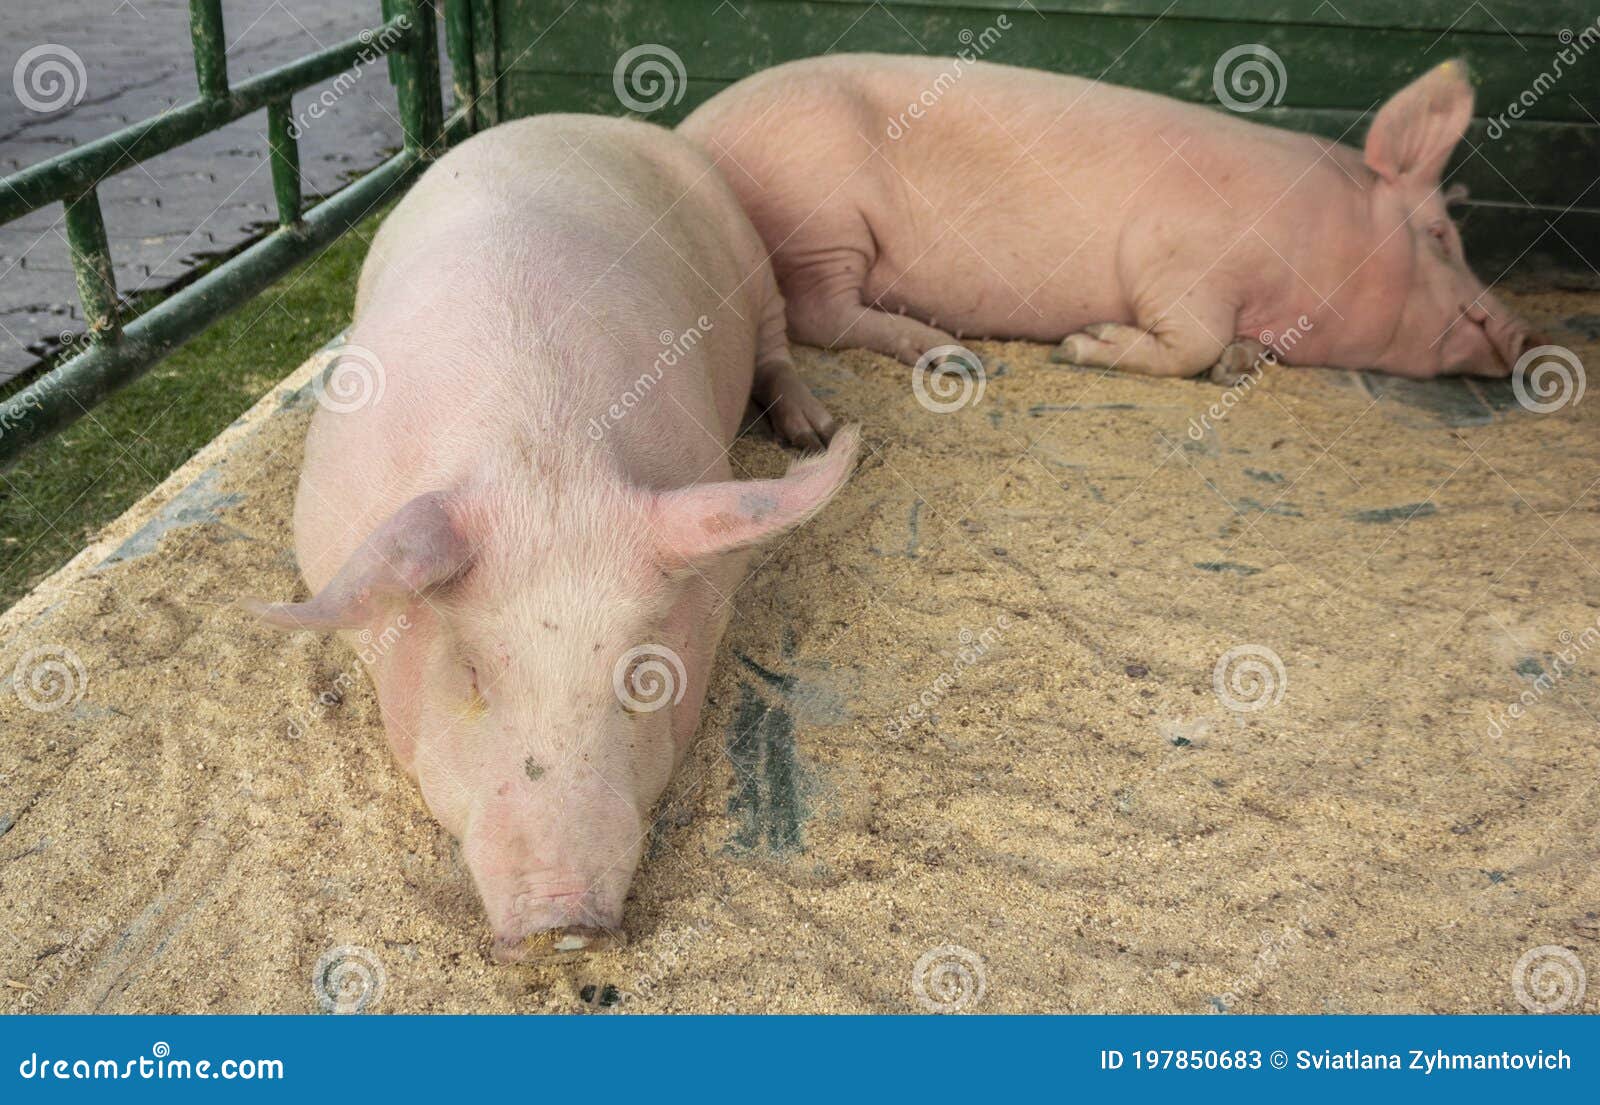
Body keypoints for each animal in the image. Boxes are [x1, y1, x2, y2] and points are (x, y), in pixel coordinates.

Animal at [242, 114, 858, 962]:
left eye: (645, 675)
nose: (561, 922)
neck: (544, 461)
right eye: (470, 672)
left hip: (755, 262)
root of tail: (573, 118)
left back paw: (814, 430)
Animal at [679, 54, 1542, 380]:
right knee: (820, 312)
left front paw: (1242, 363)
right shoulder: (1179, 257)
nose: (1524, 334)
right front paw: (1081, 344)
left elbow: (1230, 352)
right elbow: (1191, 342)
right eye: (1441, 235)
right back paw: (954, 356)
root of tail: (696, 131)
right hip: (825, 215)